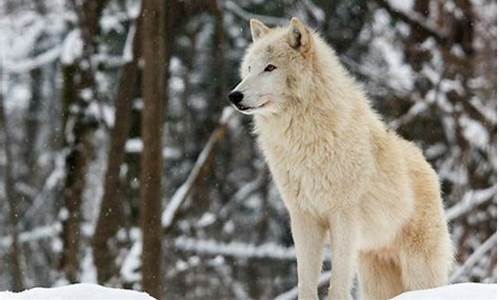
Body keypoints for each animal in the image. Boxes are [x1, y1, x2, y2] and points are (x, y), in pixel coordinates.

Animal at [229, 17, 456, 298]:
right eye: (249, 68)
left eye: (270, 68)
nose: (234, 96)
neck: (304, 140)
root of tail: (428, 167)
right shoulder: (304, 218)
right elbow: (305, 279)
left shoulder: (344, 216)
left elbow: (338, 281)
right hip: (375, 275)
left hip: (418, 268)